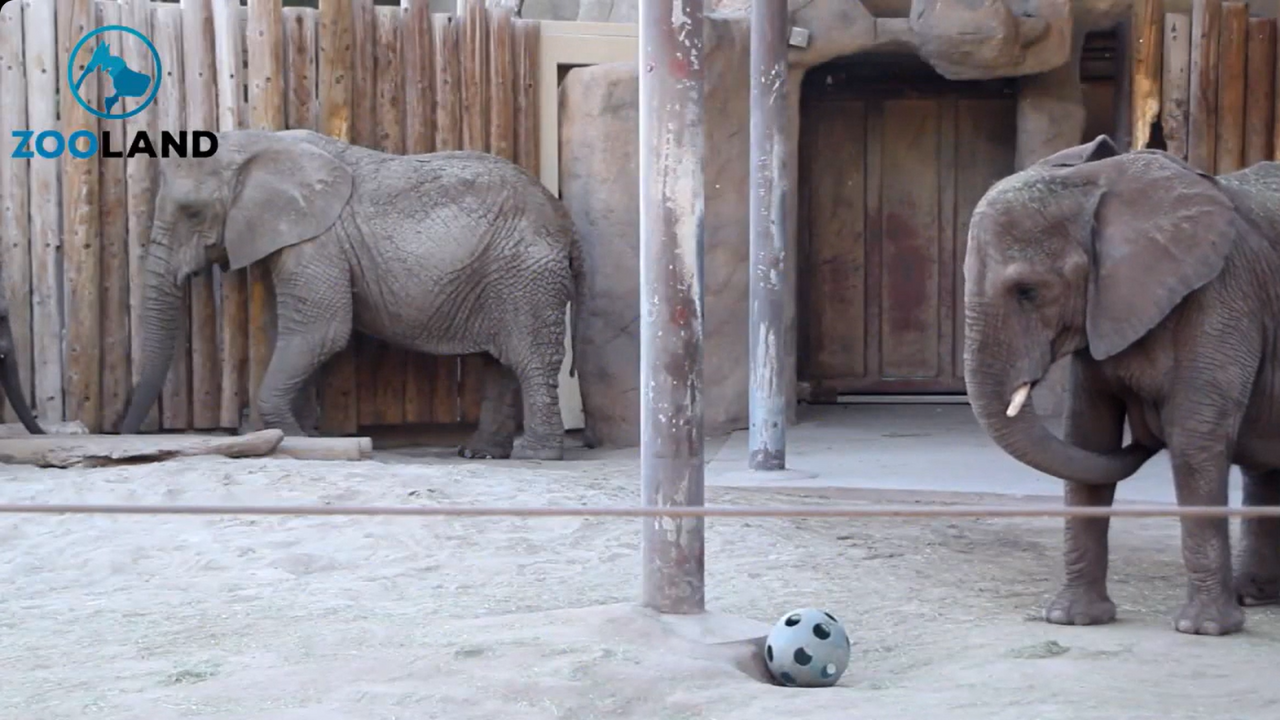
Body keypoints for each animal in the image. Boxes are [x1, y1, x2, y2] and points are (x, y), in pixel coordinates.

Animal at [118, 129, 580, 460]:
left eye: (193, 213)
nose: (124, 431)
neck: (259, 142)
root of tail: (562, 216)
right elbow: (293, 333)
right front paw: (286, 433)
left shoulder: (317, 240)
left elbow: (321, 332)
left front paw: (295, 437)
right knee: (497, 364)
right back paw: (479, 453)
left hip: (526, 273)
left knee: (529, 358)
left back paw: (534, 455)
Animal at [962, 134, 1280, 636]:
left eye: (1028, 291)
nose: (1148, 426)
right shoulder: (1103, 310)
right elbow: (1089, 439)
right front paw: (1073, 619)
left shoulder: (1224, 294)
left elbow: (1194, 439)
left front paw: (1205, 630)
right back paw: (1255, 596)